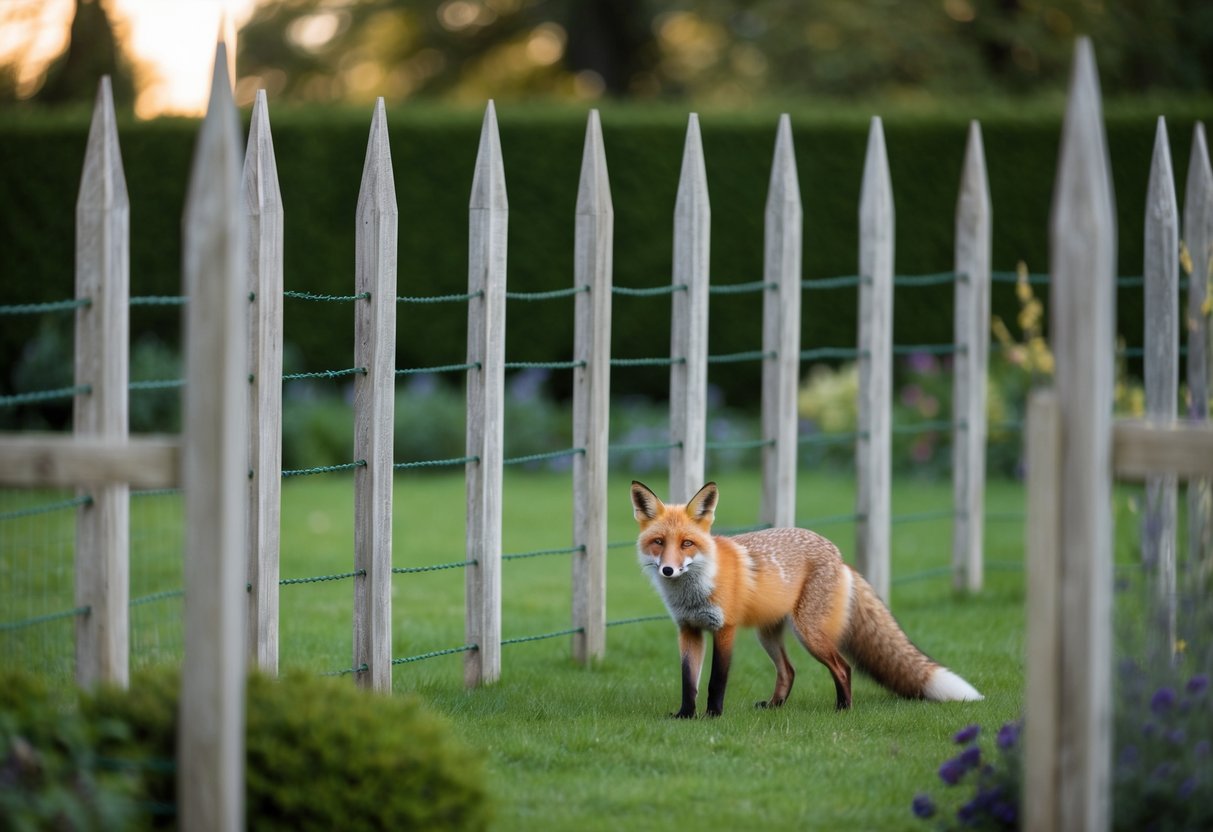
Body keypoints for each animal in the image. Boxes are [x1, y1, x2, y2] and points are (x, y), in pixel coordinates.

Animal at [631, 480, 982, 718]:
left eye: (687, 543)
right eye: (659, 542)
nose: (667, 570)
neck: (695, 590)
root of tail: (839, 556)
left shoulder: (725, 628)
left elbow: (717, 680)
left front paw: (713, 715)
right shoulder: (689, 629)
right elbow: (688, 680)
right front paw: (686, 715)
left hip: (809, 633)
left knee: (843, 667)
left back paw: (843, 708)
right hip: (768, 634)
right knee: (789, 671)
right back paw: (774, 706)